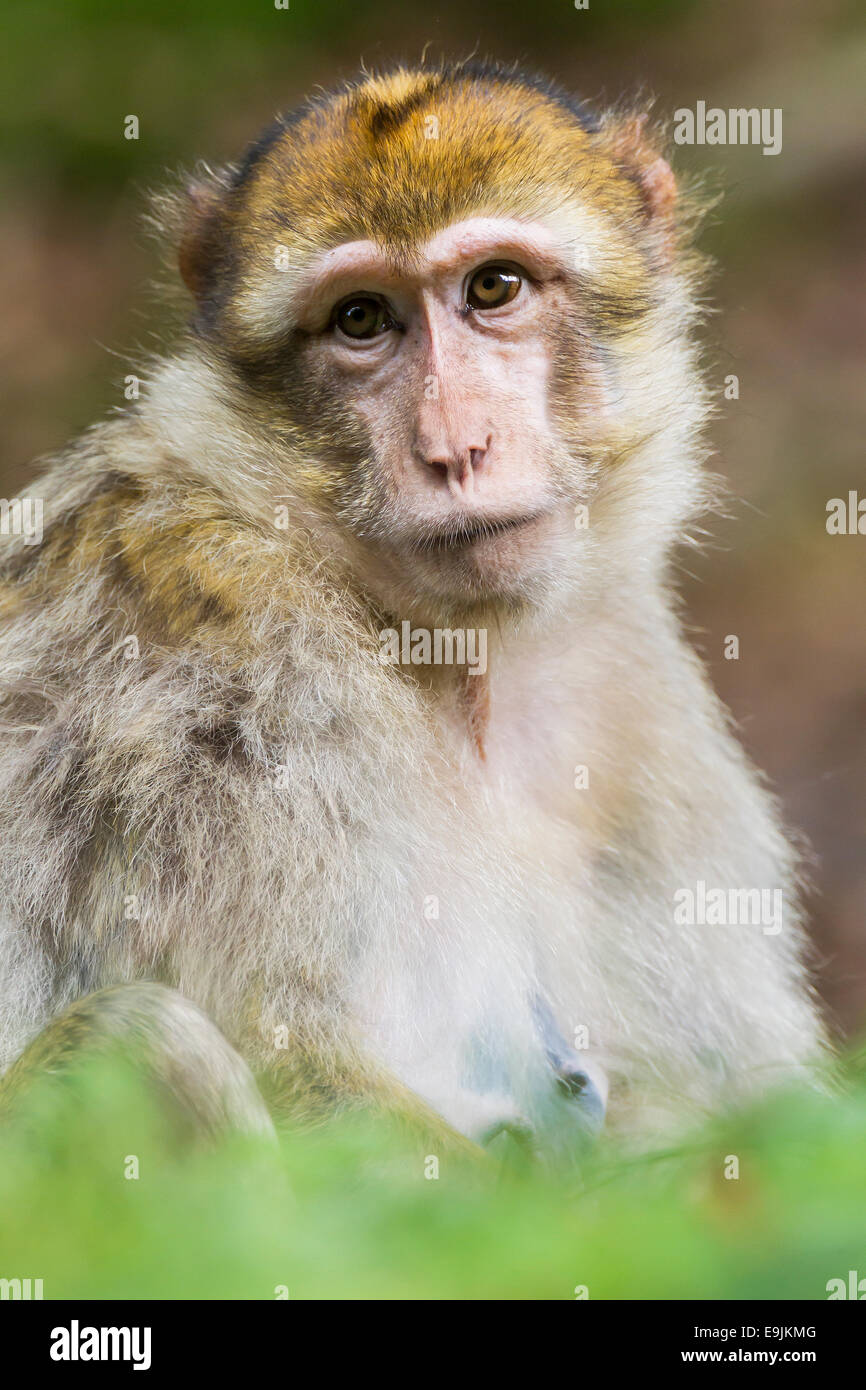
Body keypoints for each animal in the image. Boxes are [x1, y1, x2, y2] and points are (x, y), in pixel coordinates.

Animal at [0, 60, 829, 1161]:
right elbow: (301, 1063)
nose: (453, 447)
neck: (447, 659)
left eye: (494, 288)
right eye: (361, 319)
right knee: (146, 1036)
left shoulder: (628, 685)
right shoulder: (213, 673)